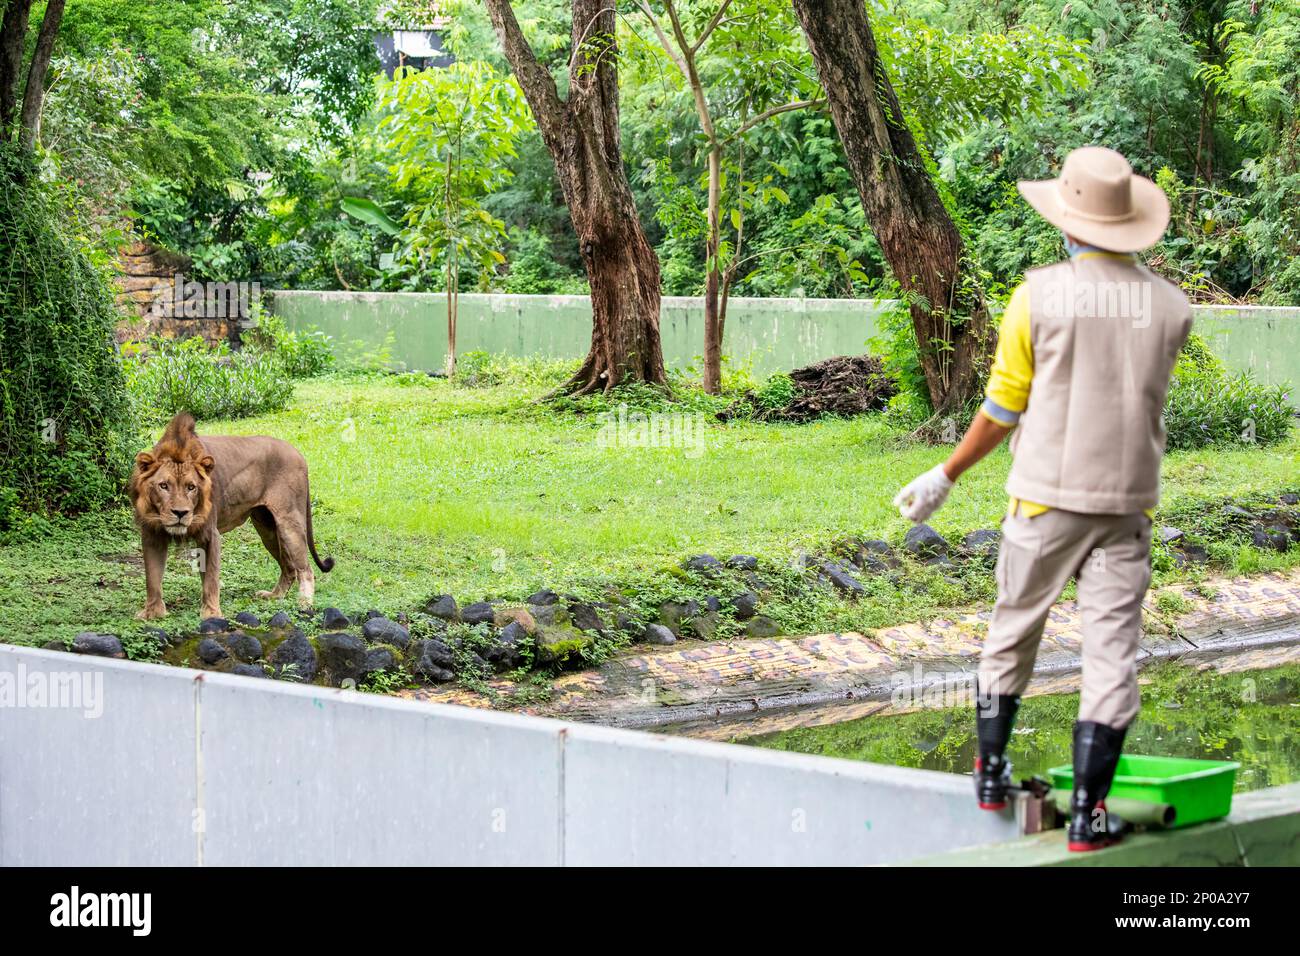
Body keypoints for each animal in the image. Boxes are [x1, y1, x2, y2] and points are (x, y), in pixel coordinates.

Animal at [128, 412, 334, 620]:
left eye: (191, 487)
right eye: (163, 486)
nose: (180, 513)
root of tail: (299, 453)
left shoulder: (210, 534)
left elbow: (210, 579)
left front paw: (211, 614)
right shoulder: (152, 534)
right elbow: (152, 578)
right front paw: (152, 613)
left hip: (289, 523)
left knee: (305, 569)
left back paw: (304, 604)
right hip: (267, 528)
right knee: (288, 567)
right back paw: (275, 596)